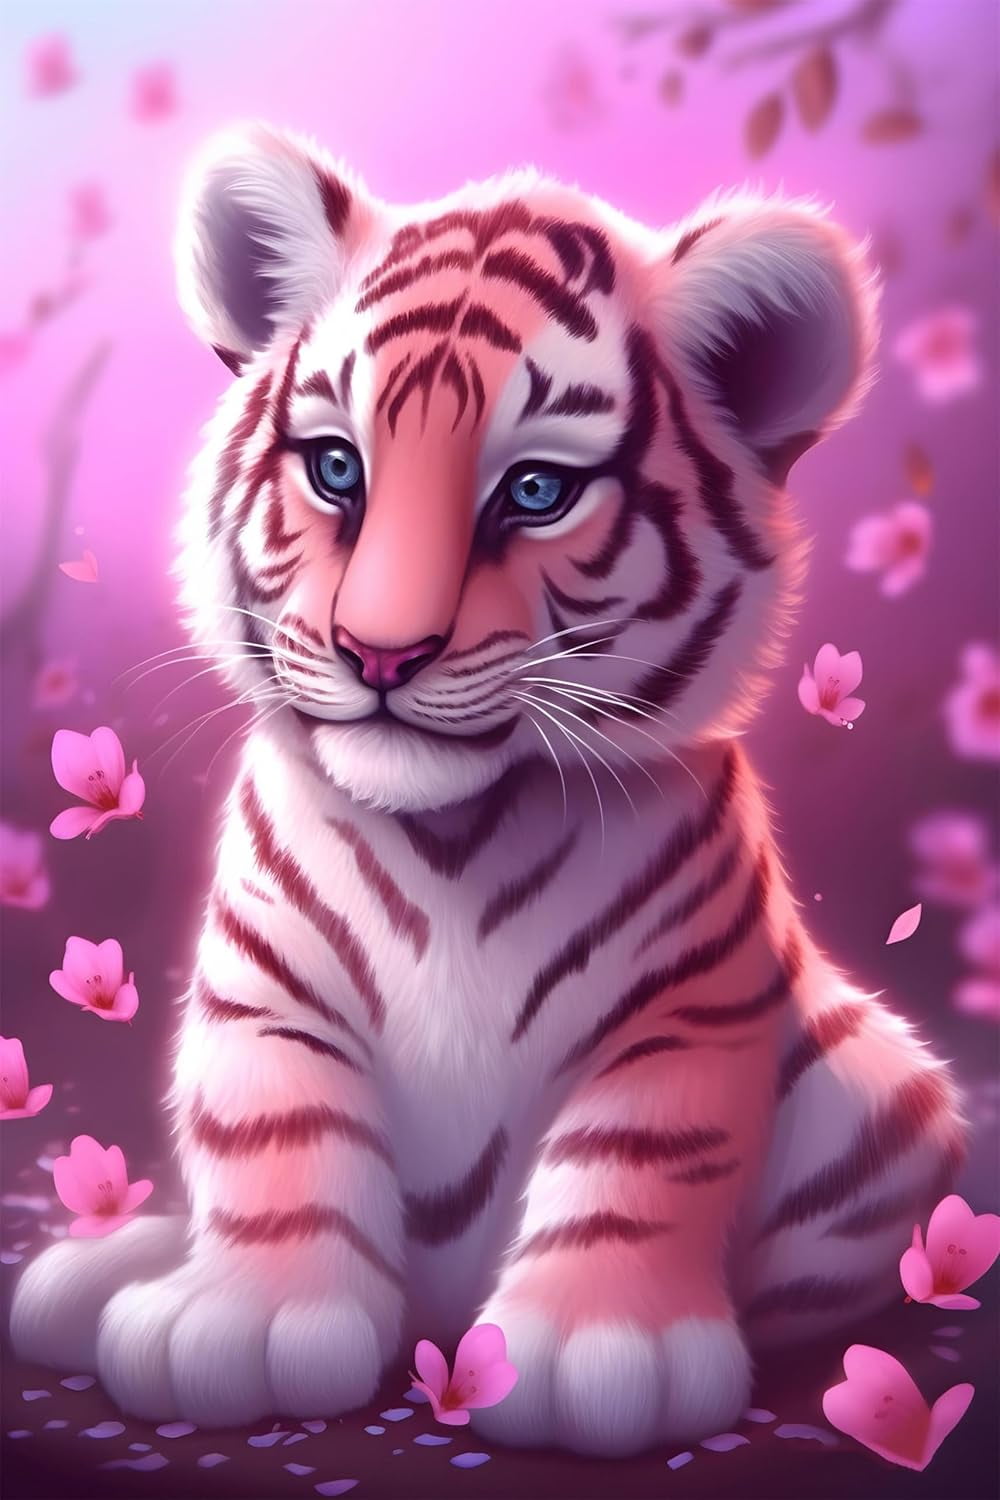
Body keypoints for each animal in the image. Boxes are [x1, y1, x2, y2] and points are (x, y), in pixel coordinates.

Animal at [12, 123, 965, 1457]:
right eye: (337, 468)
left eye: (535, 491)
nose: (380, 654)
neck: (448, 833)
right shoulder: (263, 991)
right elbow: (272, 1132)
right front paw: (246, 1317)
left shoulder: (686, 1009)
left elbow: (643, 1152)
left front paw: (593, 1354)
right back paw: (99, 1274)